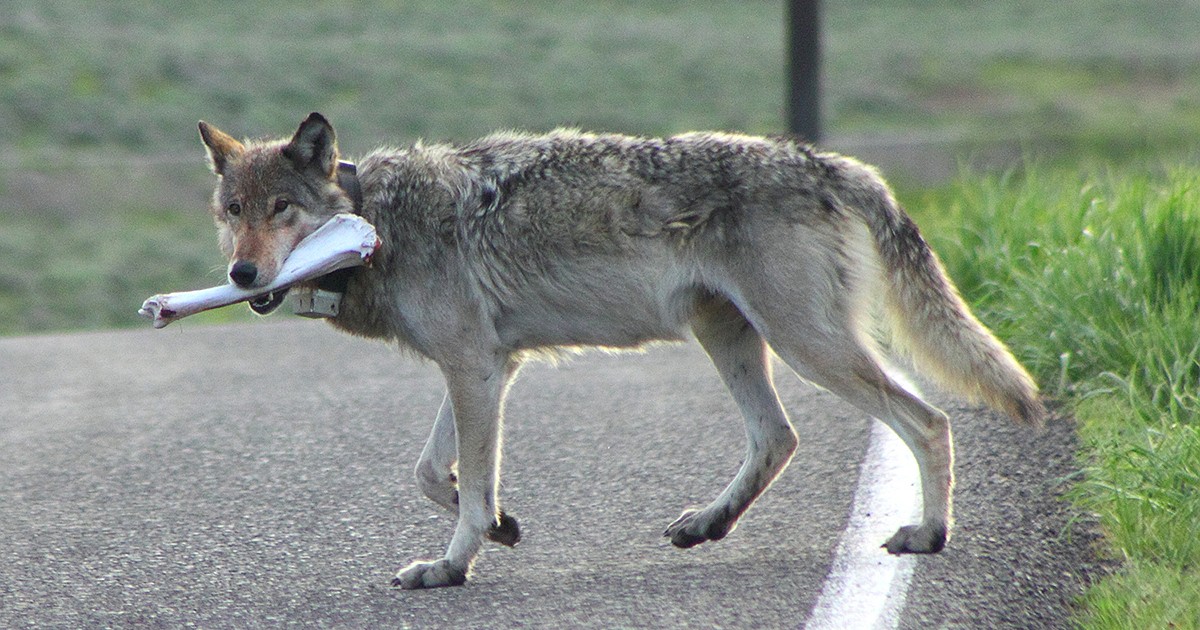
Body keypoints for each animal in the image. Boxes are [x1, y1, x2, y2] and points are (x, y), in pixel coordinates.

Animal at [196, 112, 1045, 589]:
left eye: (282, 209)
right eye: (234, 211)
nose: (242, 274)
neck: (377, 222)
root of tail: (829, 160)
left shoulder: (474, 370)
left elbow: (464, 484)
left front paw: (452, 565)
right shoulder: (485, 368)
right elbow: (436, 474)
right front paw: (500, 526)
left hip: (808, 347)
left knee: (927, 421)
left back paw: (928, 534)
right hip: (730, 338)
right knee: (778, 437)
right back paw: (707, 524)